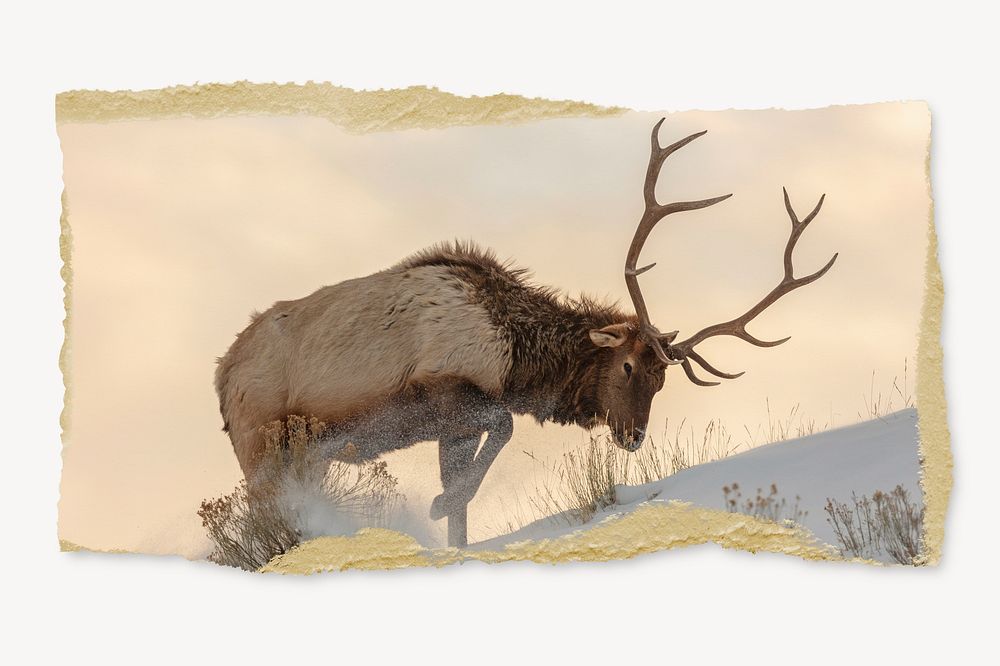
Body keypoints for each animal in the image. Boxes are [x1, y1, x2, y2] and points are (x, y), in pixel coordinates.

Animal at [214, 119, 838, 547]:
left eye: (663, 381)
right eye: (628, 365)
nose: (633, 436)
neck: (516, 358)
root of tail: (222, 375)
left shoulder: (452, 426)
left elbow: (467, 501)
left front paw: (449, 521)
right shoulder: (444, 389)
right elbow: (503, 430)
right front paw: (435, 504)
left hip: (303, 455)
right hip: (260, 445)